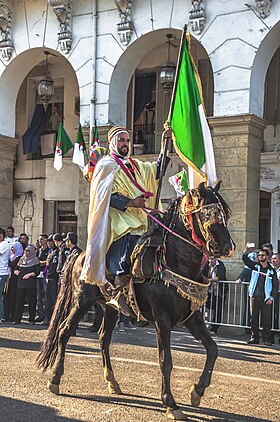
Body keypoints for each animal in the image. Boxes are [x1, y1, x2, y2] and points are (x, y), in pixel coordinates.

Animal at [37, 183, 234, 420]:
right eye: (209, 213)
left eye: (225, 214)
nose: (228, 246)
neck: (176, 262)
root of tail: (81, 254)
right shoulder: (162, 319)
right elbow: (165, 361)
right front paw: (171, 404)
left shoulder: (192, 317)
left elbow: (213, 349)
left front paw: (197, 391)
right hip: (81, 301)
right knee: (64, 331)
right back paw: (55, 379)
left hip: (111, 307)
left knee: (103, 339)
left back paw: (112, 382)